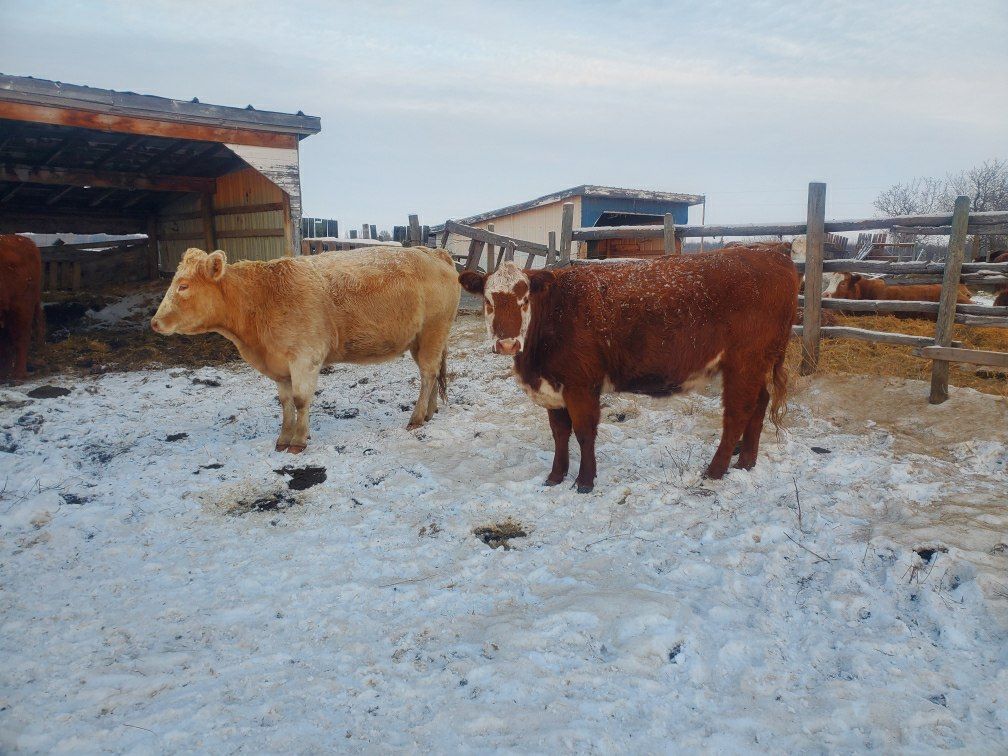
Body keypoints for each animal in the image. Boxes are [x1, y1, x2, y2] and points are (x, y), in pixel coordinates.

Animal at [152, 246, 461, 452]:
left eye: (183, 286)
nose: (154, 322)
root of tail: (433, 252)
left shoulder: (305, 358)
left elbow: (301, 400)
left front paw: (298, 441)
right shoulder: (280, 367)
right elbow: (286, 403)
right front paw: (283, 438)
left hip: (432, 332)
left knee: (428, 374)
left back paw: (416, 418)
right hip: (421, 340)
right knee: (433, 374)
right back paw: (430, 412)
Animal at [458, 245, 799, 491]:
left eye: (524, 299)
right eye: (488, 301)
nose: (507, 344)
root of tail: (770, 253)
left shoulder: (581, 384)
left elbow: (584, 432)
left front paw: (585, 481)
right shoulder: (554, 387)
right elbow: (559, 433)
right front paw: (555, 476)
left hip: (744, 362)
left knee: (738, 413)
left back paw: (715, 471)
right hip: (756, 363)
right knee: (759, 404)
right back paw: (745, 463)